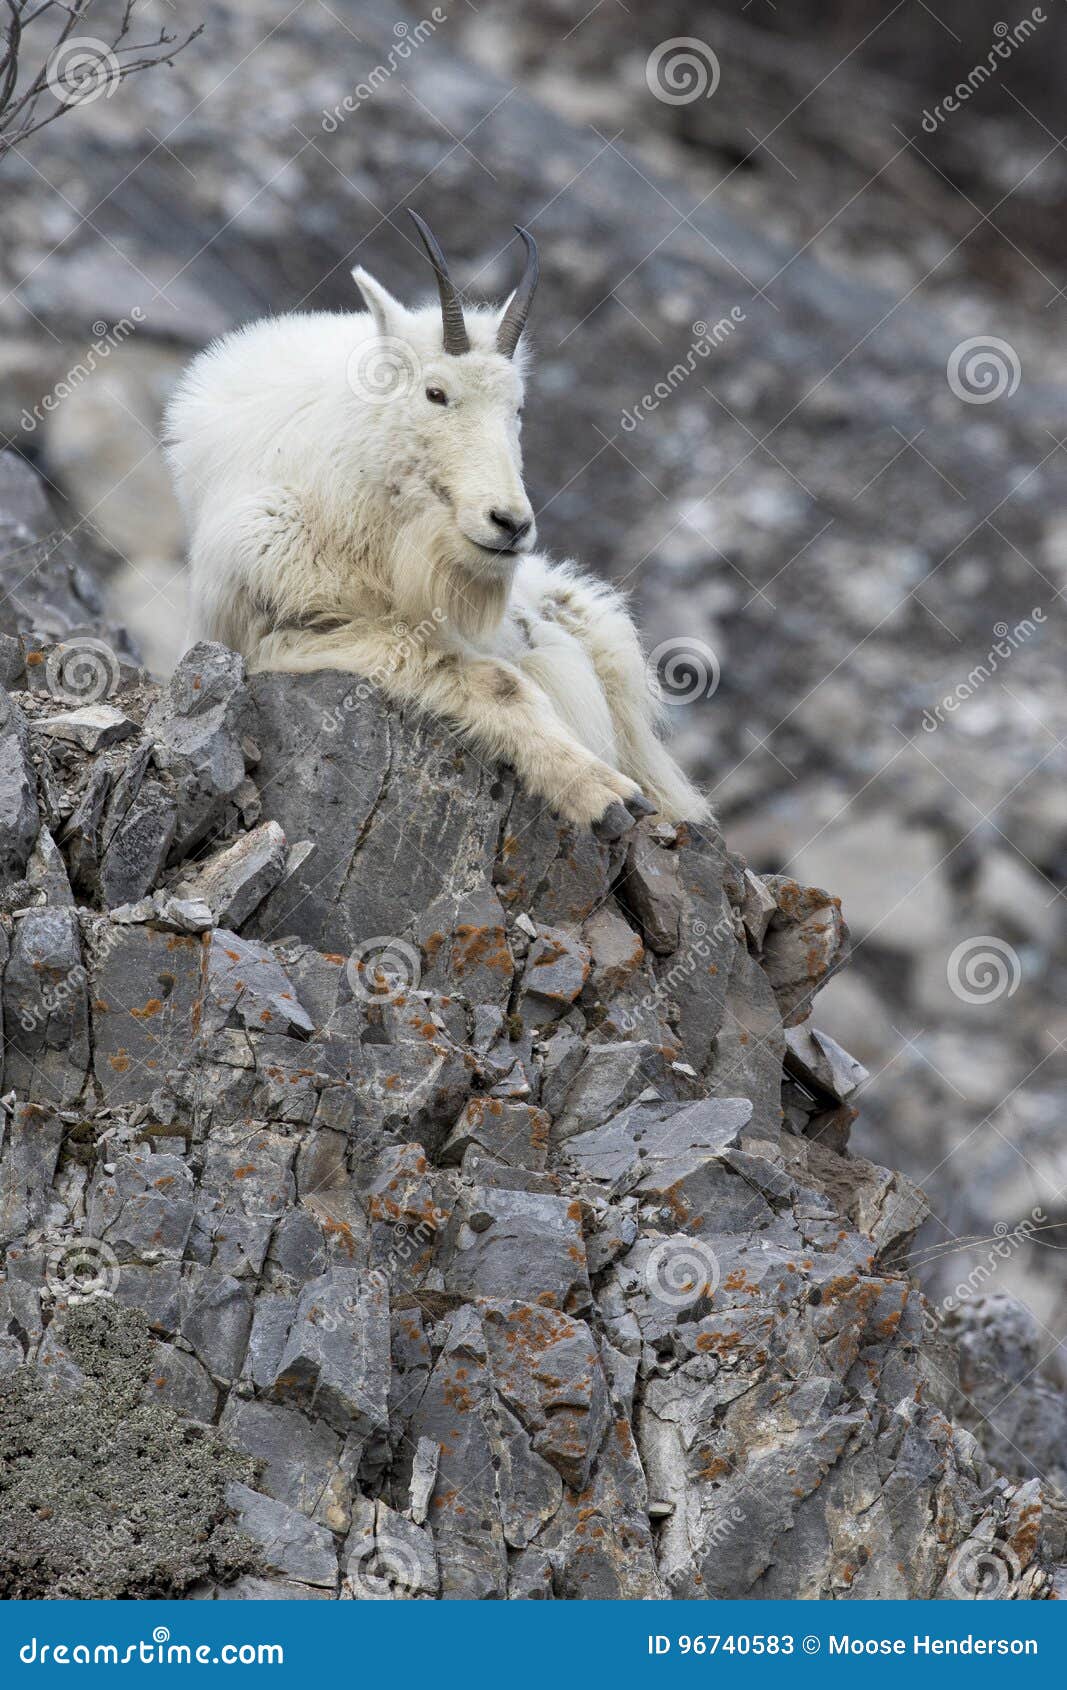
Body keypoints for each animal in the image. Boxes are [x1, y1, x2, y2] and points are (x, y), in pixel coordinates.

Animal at [164, 212, 710, 836]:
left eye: (518, 409)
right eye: (435, 393)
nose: (510, 524)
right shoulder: (277, 629)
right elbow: (493, 679)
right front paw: (600, 794)